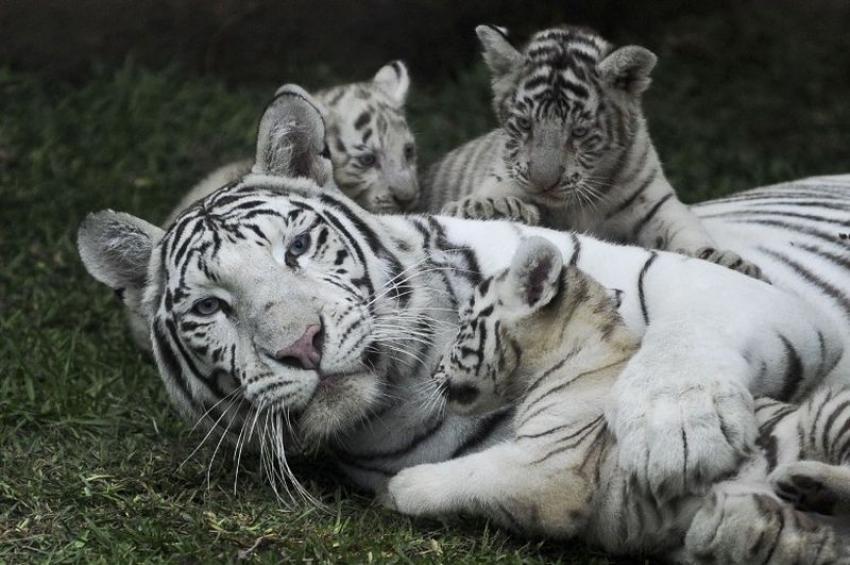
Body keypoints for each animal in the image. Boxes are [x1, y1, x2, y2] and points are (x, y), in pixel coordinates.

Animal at [405, 235, 850, 562]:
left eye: (464, 324)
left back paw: (803, 481)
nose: (434, 370)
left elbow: (466, 473)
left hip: (830, 411)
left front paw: (401, 488)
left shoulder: (551, 466)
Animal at [424, 25, 764, 280]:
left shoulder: (658, 206)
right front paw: (489, 207)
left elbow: (689, 232)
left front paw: (724, 259)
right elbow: (492, 197)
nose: (544, 183)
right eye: (524, 124)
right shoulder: (505, 177)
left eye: (579, 132)